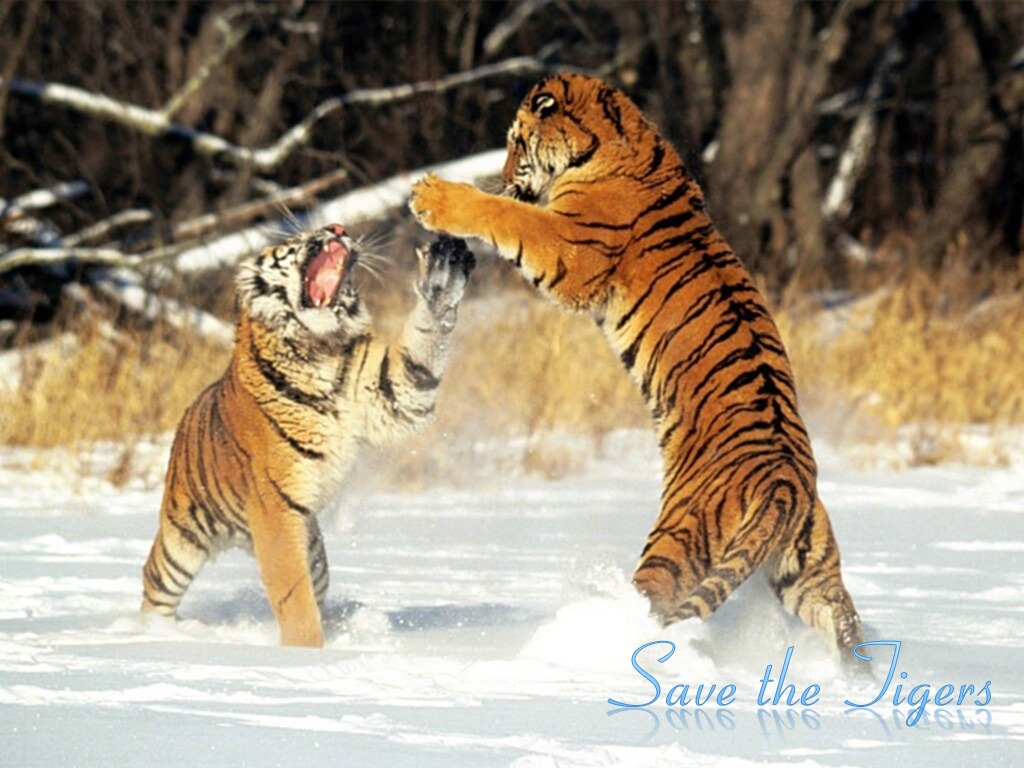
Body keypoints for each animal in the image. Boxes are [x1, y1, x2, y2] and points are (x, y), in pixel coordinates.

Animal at [141, 225, 476, 647]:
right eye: (294, 240)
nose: (338, 228)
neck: (320, 347)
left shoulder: (392, 392)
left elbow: (423, 352)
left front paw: (442, 278)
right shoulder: (275, 509)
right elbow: (294, 596)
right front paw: (307, 652)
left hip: (313, 551)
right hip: (179, 542)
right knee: (154, 585)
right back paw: (150, 633)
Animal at [410, 73, 865, 667]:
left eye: (515, 143)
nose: (507, 177)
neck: (619, 132)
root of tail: (787, 481)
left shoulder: (571, 251)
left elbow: (509, 218)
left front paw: (435, 196)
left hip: (676, 542)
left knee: (652, 602)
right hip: (809, 572)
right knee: (842, 620)